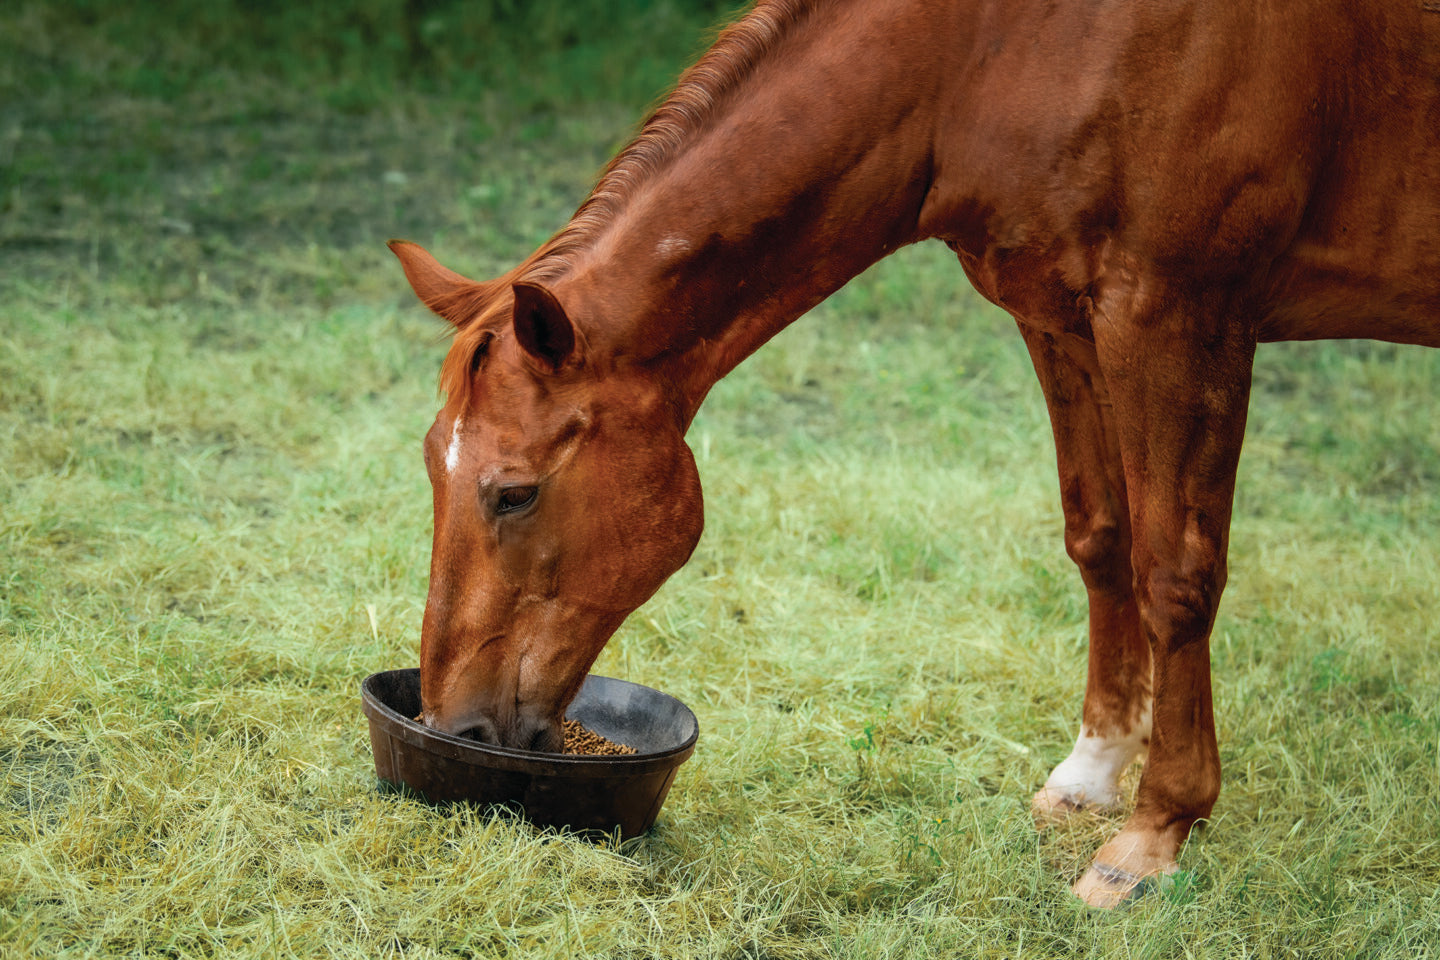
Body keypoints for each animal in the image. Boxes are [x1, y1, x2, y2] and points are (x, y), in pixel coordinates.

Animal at [389, 0, 1440, 907]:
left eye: (513, 494)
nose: (452, 727)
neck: (995, 50)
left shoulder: (1180, 320)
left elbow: (1176, 575)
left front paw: (1152, 837)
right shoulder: (1060, 317)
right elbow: (1101, 539)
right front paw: (1093, 775)